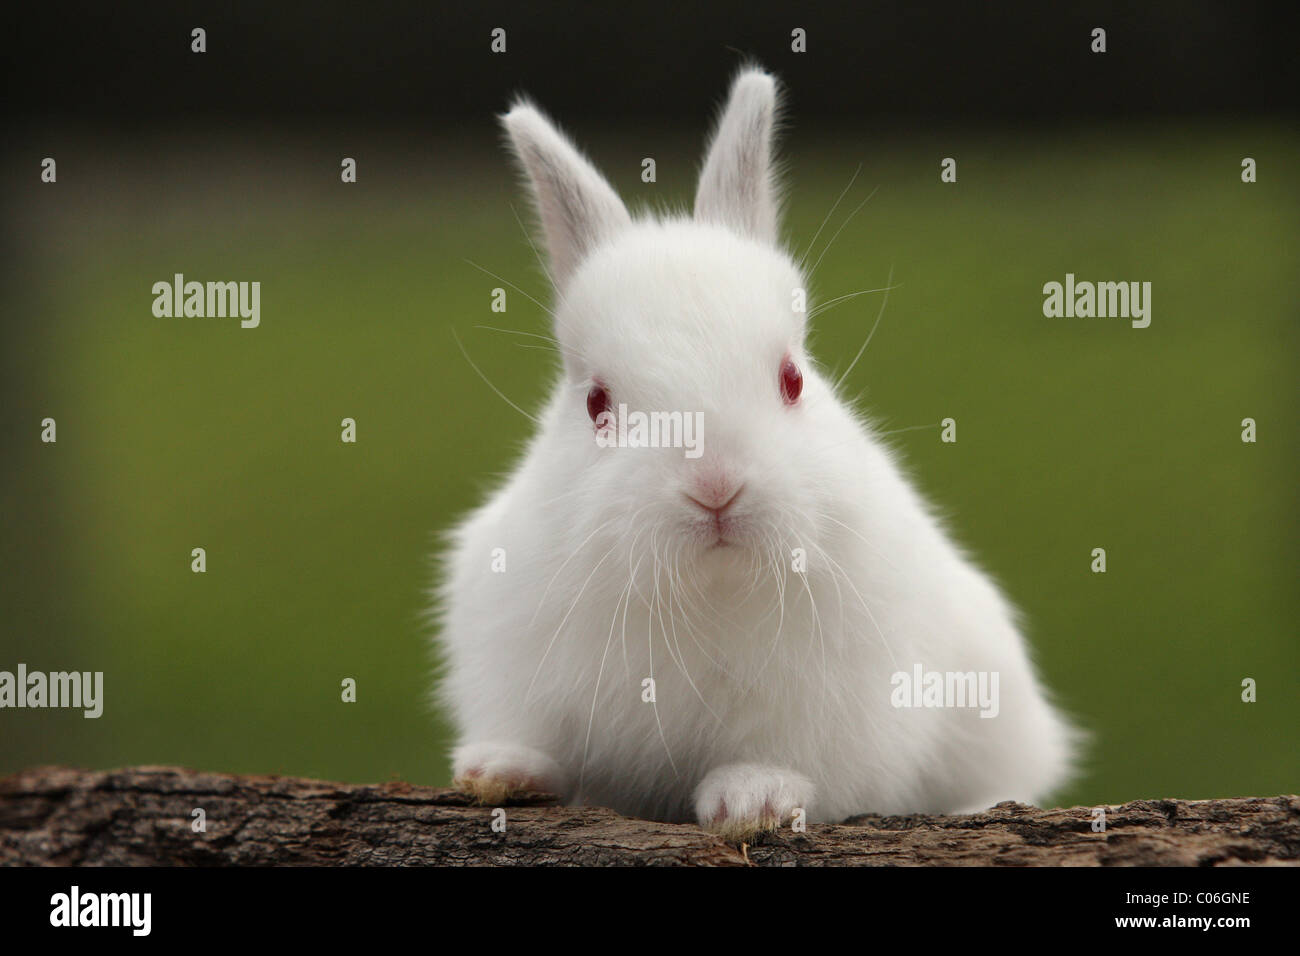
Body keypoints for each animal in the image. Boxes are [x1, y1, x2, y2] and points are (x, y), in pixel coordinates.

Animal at [434, 66, 1078, 840]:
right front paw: (499, 770)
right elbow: (541, 746)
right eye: (597, 404)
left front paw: (752, 799)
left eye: (791, 379)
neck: (713, 588)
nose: (715, 487)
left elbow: (790, 763)